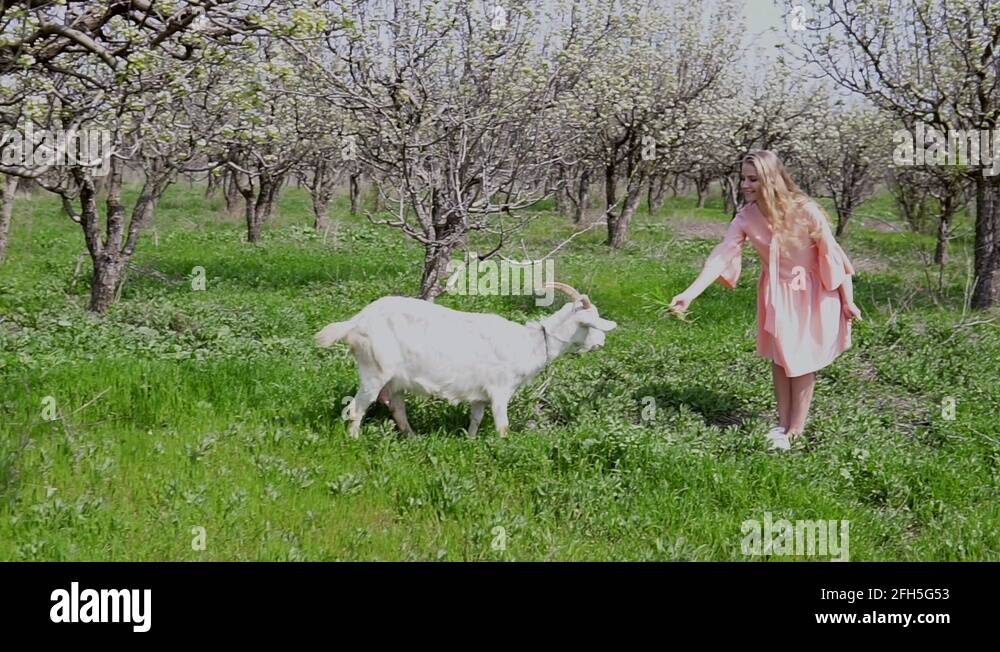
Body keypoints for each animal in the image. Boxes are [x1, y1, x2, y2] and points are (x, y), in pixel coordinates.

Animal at [314, 283, 617, 438]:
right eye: (593, 323)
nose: (601, 344)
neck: (529, 344)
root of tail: (357, 321)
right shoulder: (500, 390)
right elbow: (502, 426)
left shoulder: (480, 395)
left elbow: (475, 419)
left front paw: (470, 441)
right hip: (373, 370)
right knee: (356, 408)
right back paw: (355, 439)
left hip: (395, 378)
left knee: (397, 407)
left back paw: (413, 437)